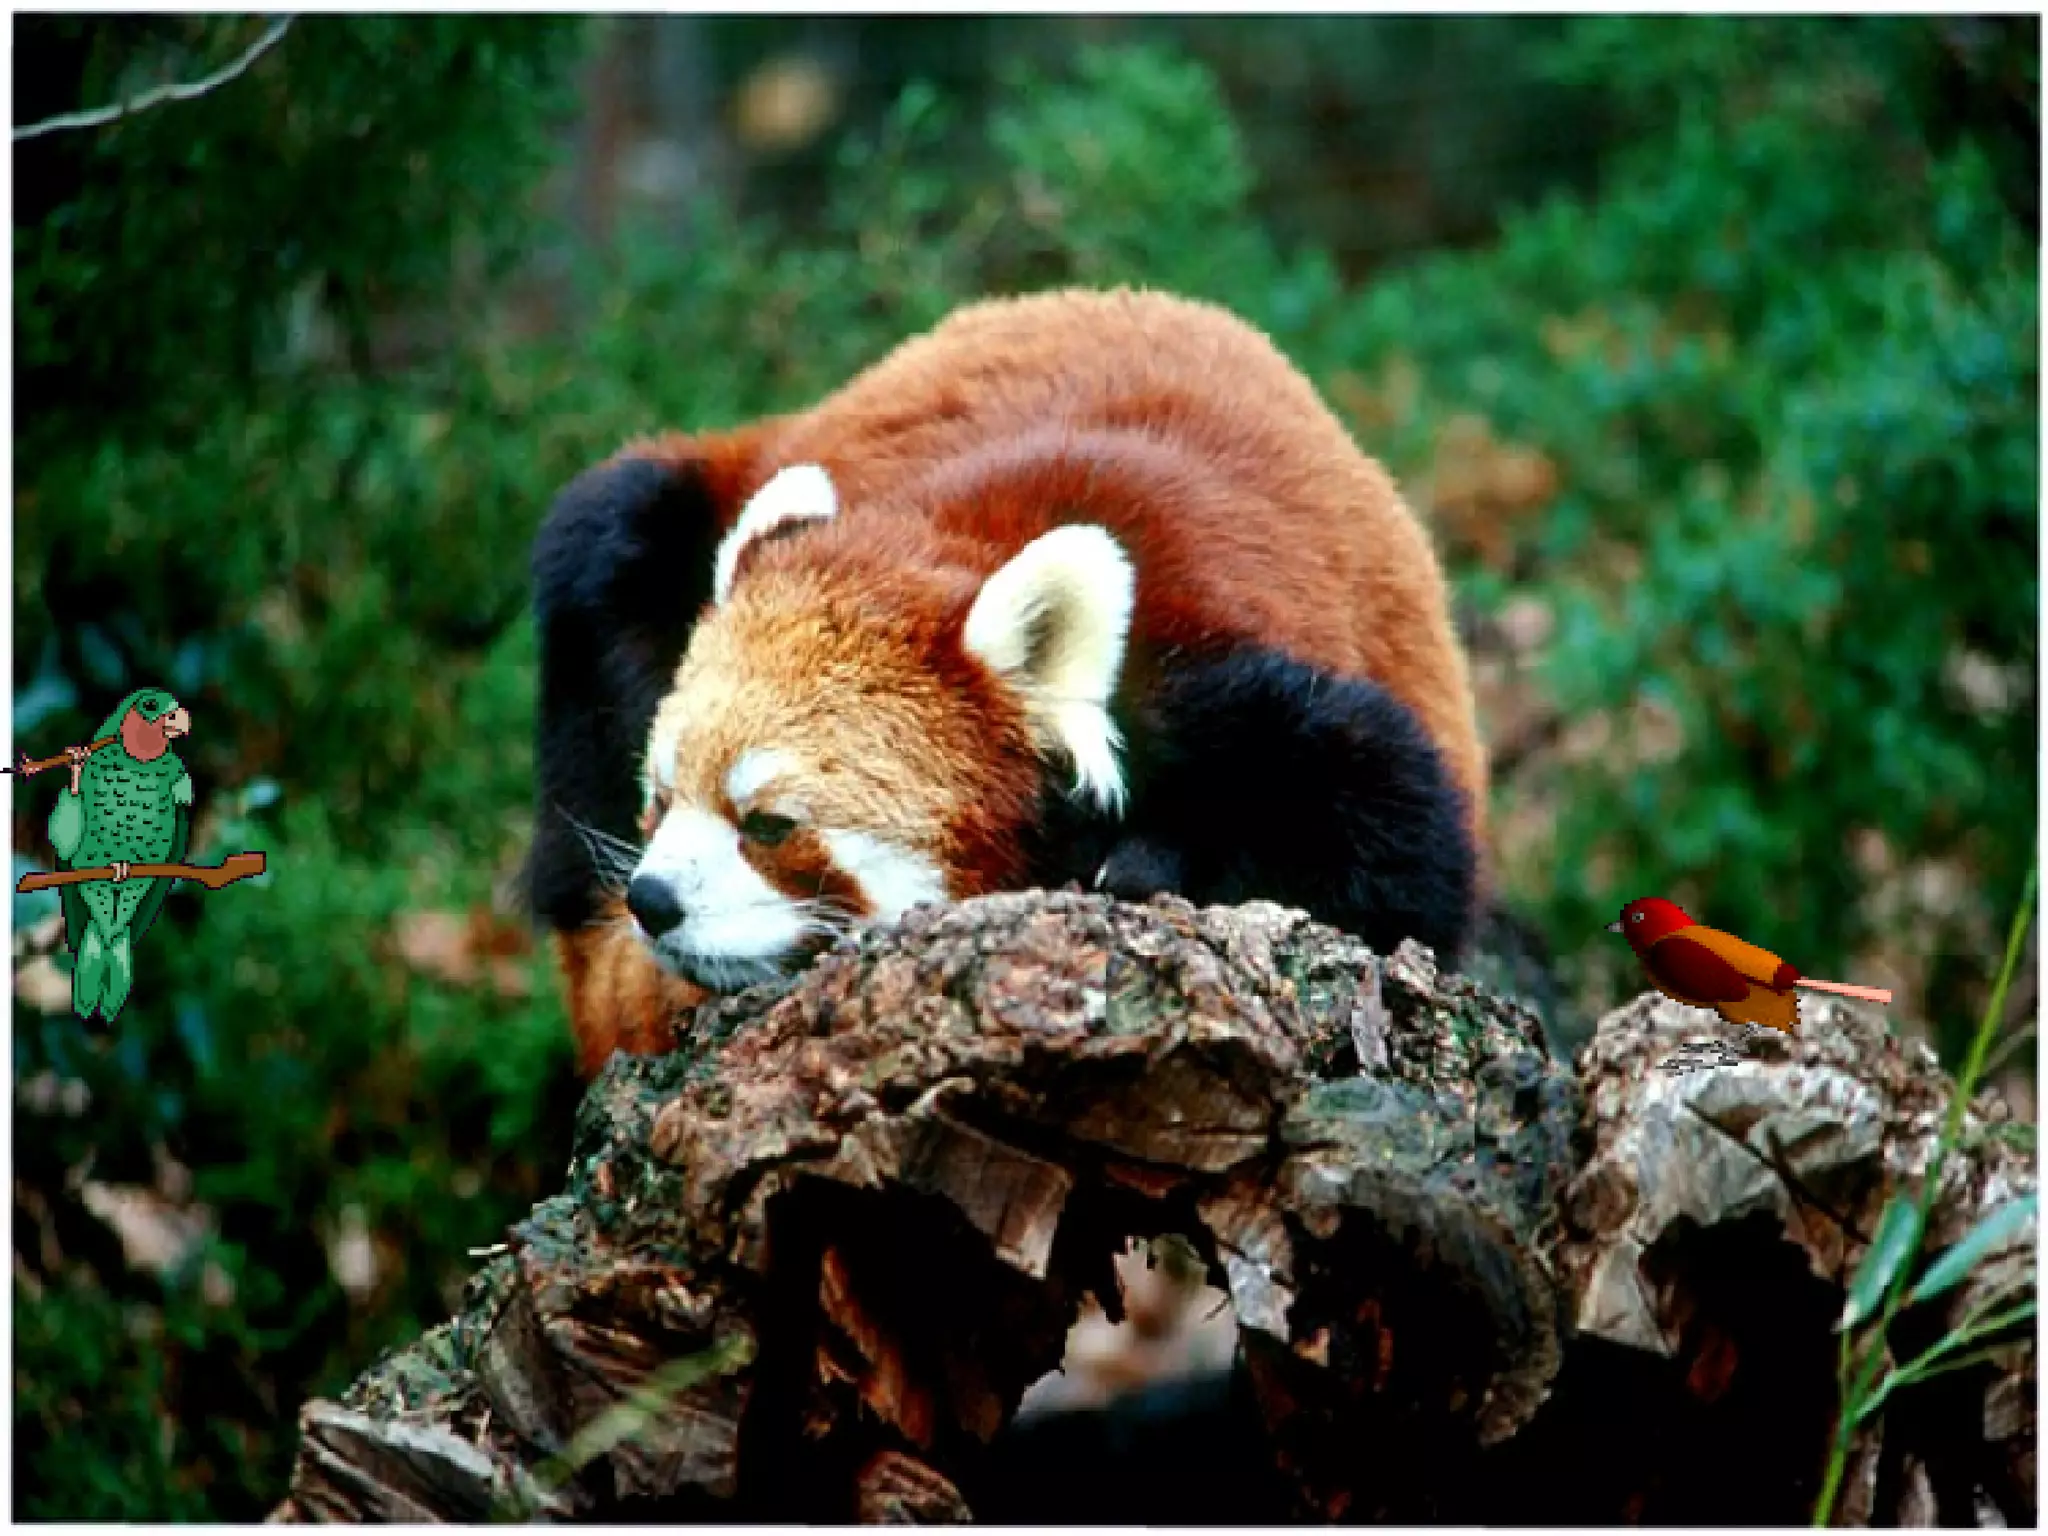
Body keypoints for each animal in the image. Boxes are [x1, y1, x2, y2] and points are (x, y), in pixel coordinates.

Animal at [527, 285, 1487, 1078]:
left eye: (768, 824)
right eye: (659, 797)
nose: (651, 901)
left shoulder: (1222, 677)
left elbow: (1399, 840)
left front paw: (1139, 865)